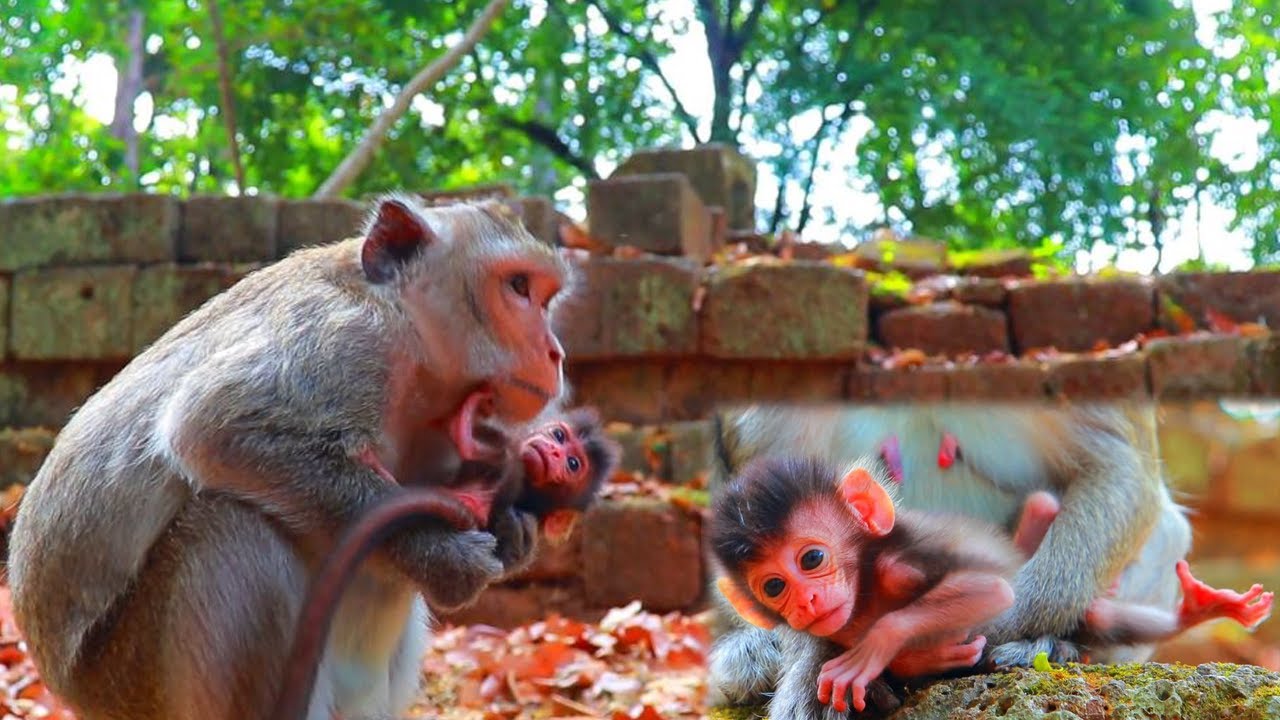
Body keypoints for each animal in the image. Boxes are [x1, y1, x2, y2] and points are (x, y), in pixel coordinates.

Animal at [7, 194, 574, 720]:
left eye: (544, 297)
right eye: (518, 287)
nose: (556, 353)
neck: (404, 331)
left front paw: (510, 529)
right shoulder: (343, 346)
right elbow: (212, 424)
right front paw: (439, 555)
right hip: (134, 679)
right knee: (229, 528)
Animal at [709, 455, 1023, 714]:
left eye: (812, 558)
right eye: (774, 587)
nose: (805, 601)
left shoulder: (898, 567)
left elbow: (993, 590)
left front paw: (877, 647)